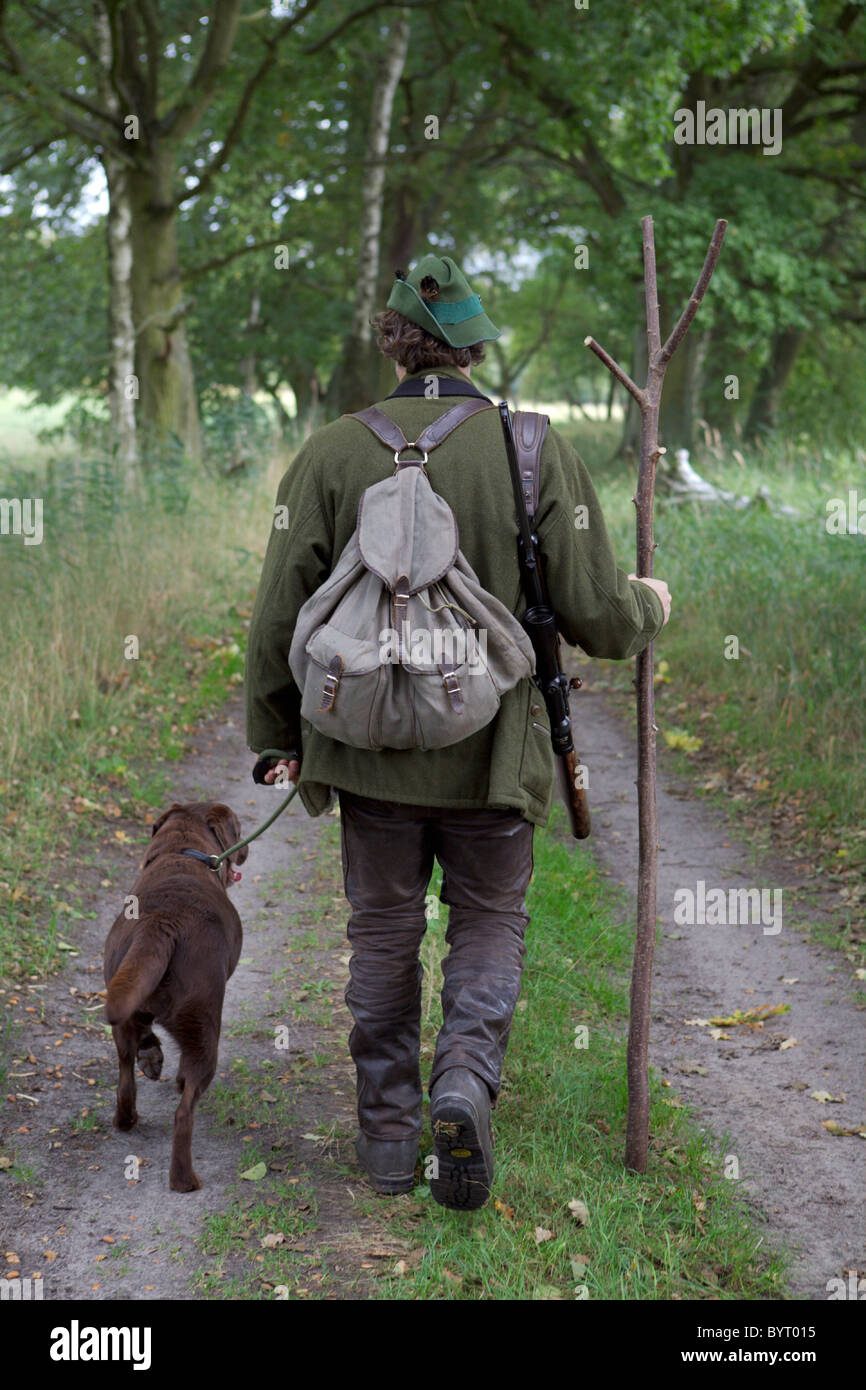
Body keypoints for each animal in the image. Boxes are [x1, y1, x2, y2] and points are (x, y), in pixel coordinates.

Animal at [104, 806, 250, 1195]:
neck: (181, 850)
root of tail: (162, 922)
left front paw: (152, 1056)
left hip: (123, 996)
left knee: (125, 1074)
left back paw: (127, 1117)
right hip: (203, 1027)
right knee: (185, 1109)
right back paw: (185, 1180)